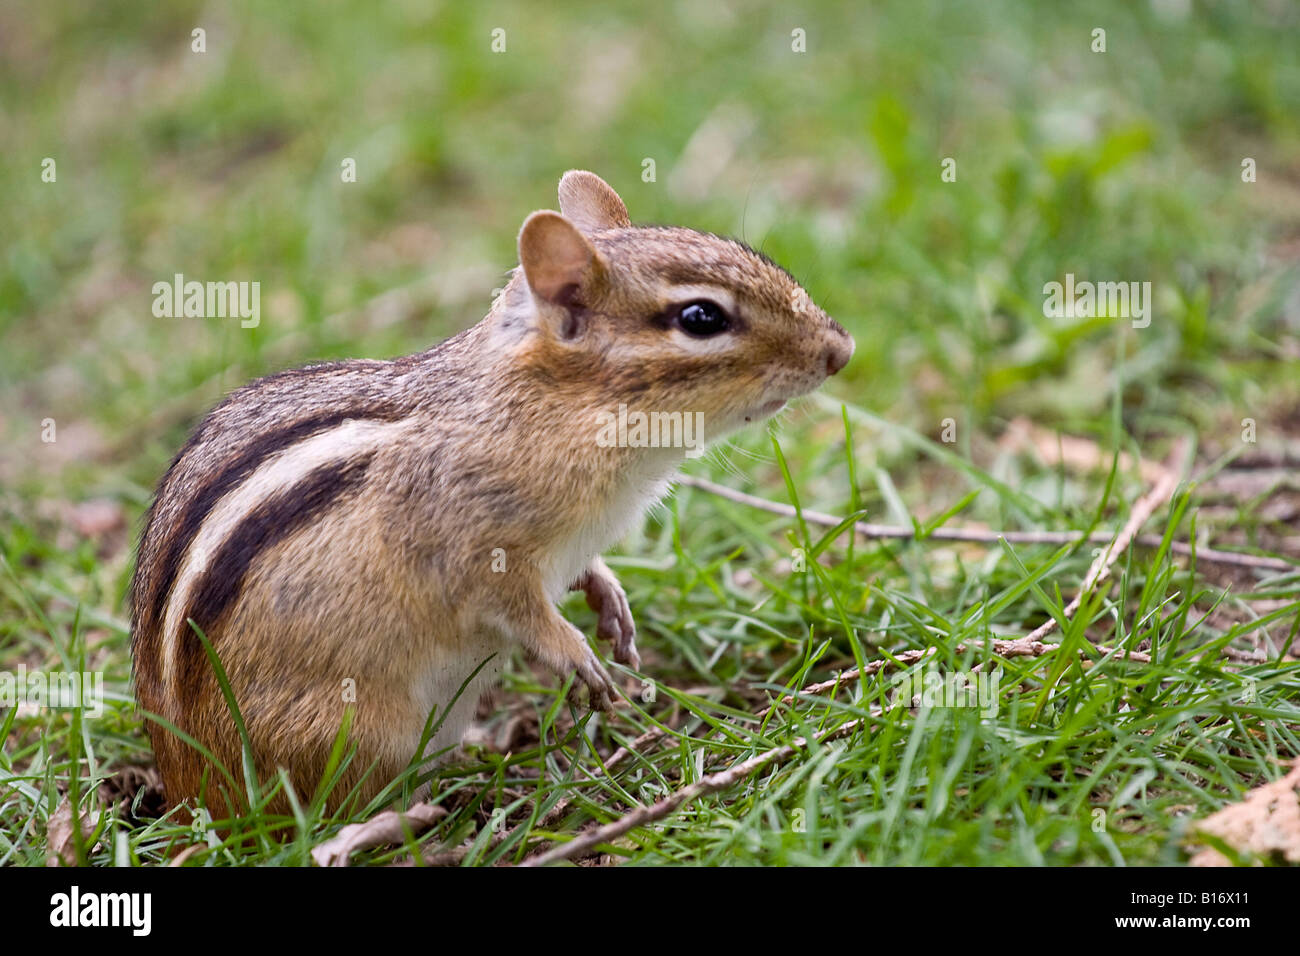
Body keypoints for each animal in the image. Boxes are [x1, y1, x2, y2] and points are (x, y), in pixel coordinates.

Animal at [130, 171, 854, 818]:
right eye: (701, 317)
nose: (840, 349)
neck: (548, 404)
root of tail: (186, 788)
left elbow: (587, 573)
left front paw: (610, 601)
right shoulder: (471, 549)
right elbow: (514, 608)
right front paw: (577, 655)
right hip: (354, 731)